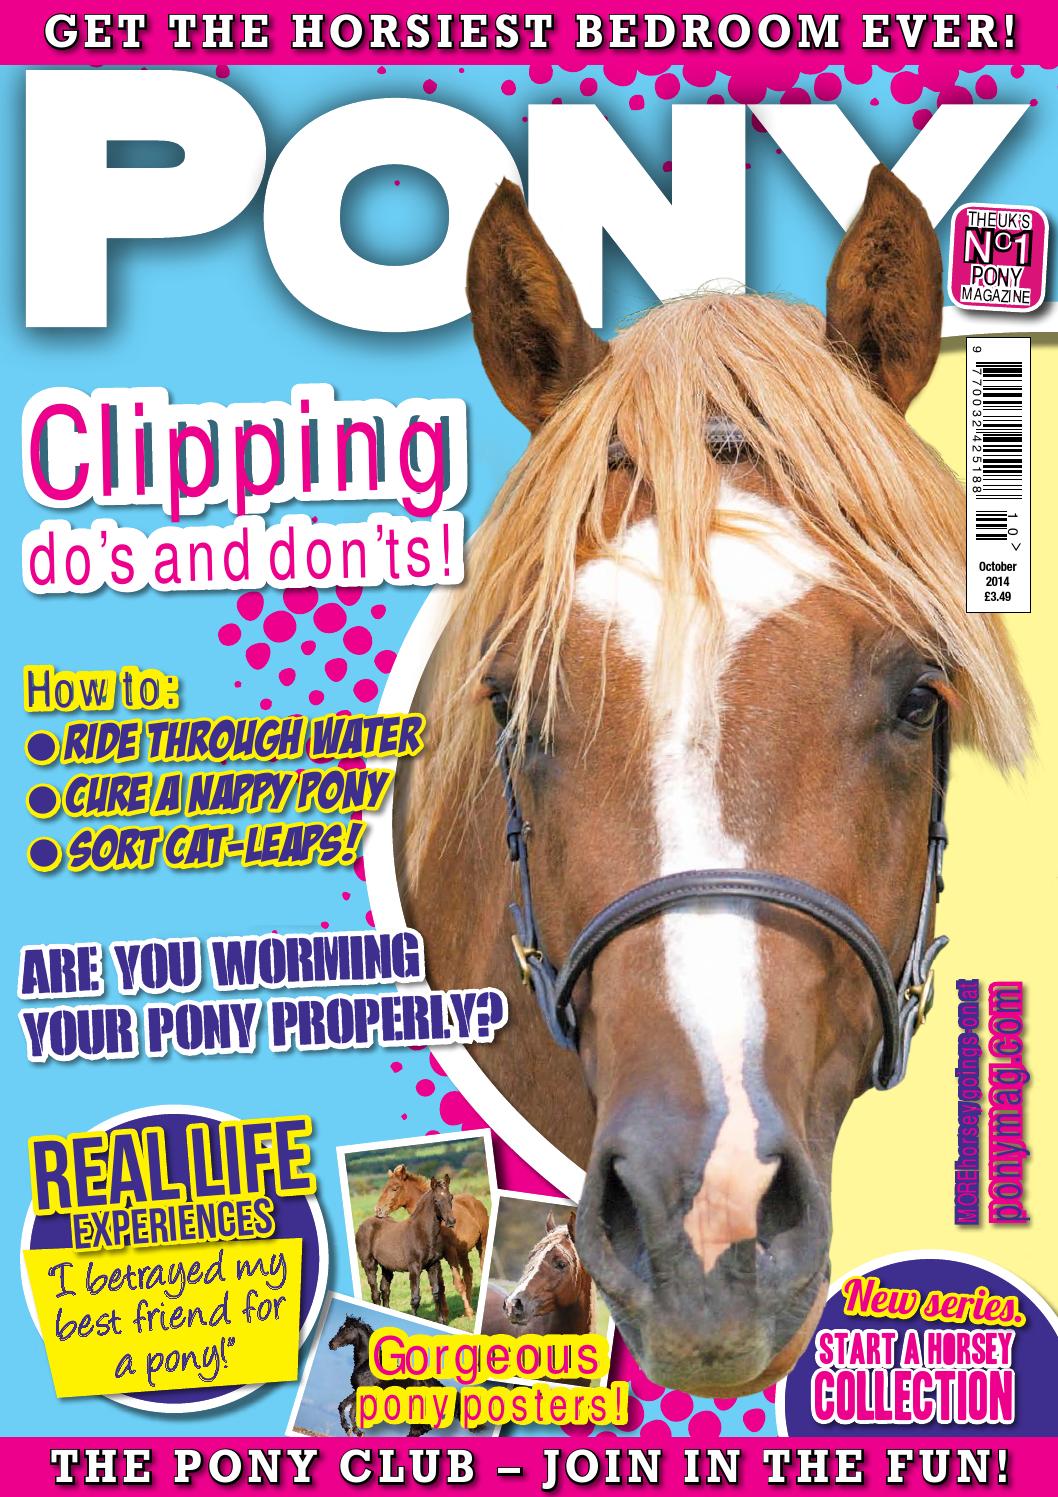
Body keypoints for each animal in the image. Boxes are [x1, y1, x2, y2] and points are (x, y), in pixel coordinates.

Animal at [355, 1175, 456, 1324]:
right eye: (436, 1200)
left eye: (451, 1197)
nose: (451, 1221)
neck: (422, 1232)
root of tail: (363, 1224)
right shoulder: (414, 1268)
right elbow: (415, 1299)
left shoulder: (433, 1265)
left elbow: (436, 1294)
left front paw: (441, 1322)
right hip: (369, 1265)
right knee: (375, 1294)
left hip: (387, 1267)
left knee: (385, 1290)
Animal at [374, 1164, 489, 1318]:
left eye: (395, 1188)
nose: (378, 1210)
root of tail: (475, 1200)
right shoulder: (436, 1259)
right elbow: (439, 1287)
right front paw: (443, 1314)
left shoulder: (450, 1253)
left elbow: (457, 1283)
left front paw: (468, 1313)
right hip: (463, 1252)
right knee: (468, 1274)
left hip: (482, 1243)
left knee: (479, 1268)